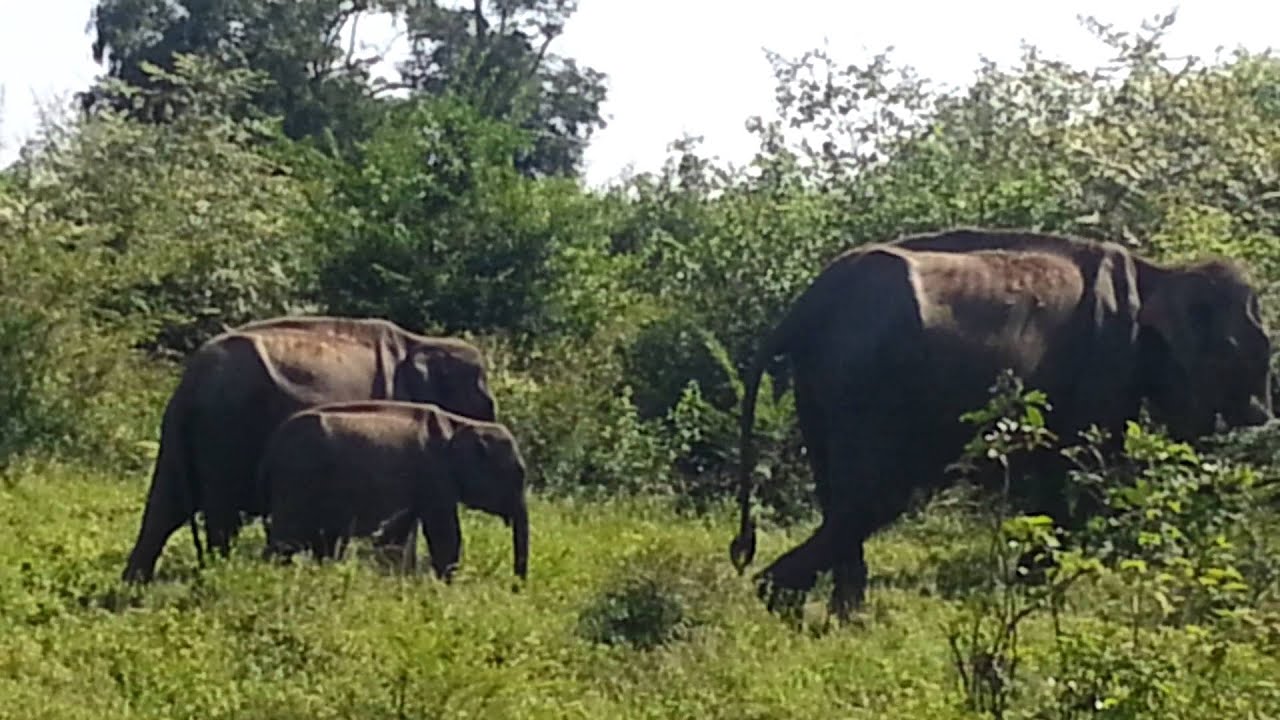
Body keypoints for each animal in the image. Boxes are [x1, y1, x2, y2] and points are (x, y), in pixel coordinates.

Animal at [122, 315, 498, 584]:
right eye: (484, 402)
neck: (419, 341)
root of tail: (190, 385)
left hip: (181, 437)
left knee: (163, 511)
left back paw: (134, 587)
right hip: (225, 431)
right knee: (220, 518)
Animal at [259, 400, 528, 581]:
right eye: (518, 474)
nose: (517, 587)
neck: (460, 424)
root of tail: (271, 447)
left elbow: (398, 537)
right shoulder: (435, 474)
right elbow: (445, 534)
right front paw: (447, 585)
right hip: (296, 482)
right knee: (286, 539)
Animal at [730, 227, 1273, 619]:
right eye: (1235, 350)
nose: (1263, 417)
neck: (1156, 273)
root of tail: (803, 307)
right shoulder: (1107, 362)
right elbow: (1084, 475)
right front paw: (1033, 591)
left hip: (820, 384)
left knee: (842, 497)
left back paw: (834, 615)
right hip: (863, 382)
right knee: (875, 497)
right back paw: (778, 599)